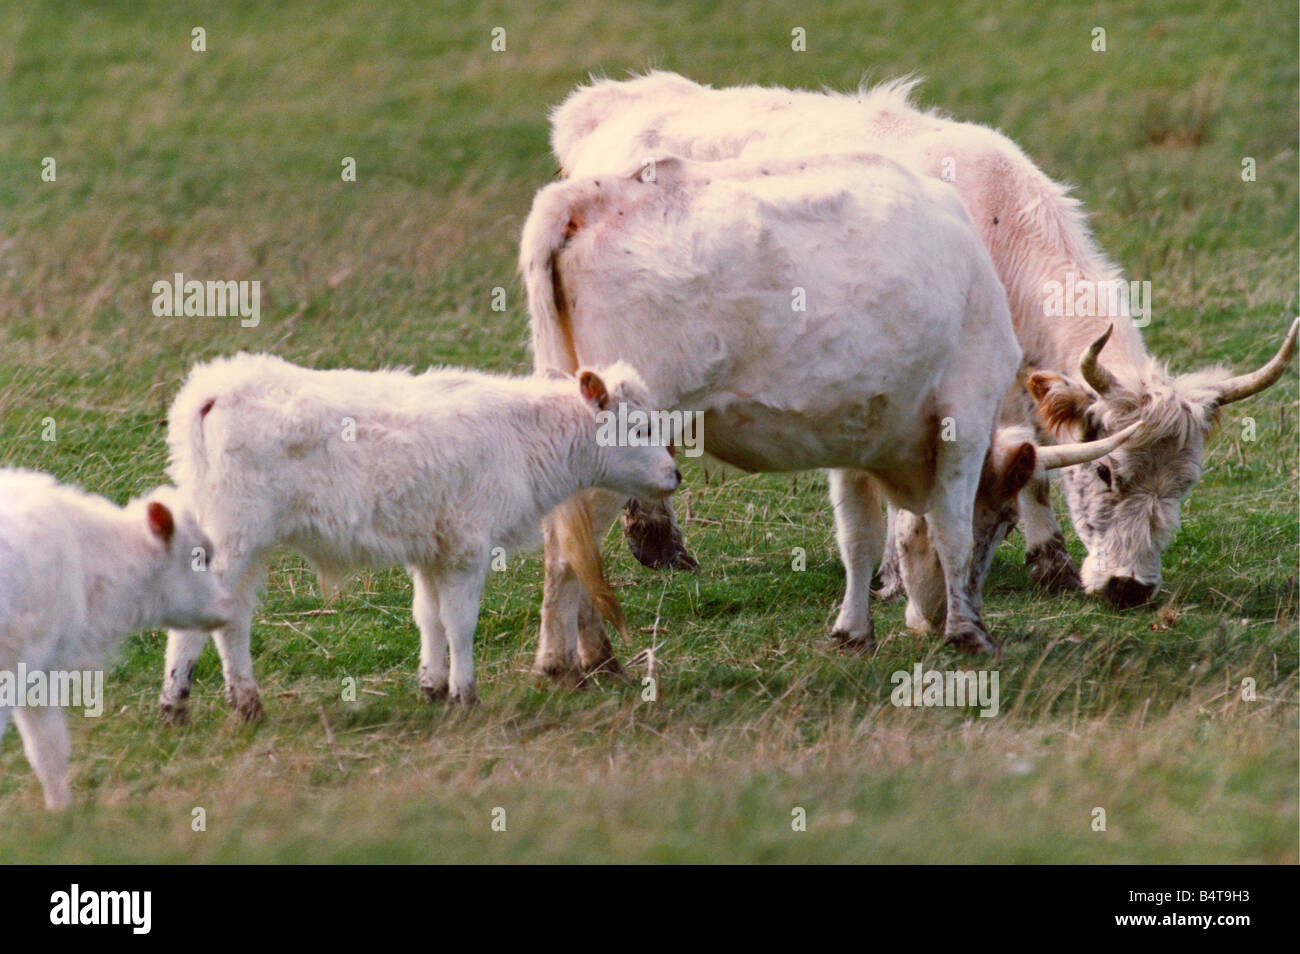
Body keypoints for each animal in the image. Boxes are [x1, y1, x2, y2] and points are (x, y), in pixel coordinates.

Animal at [156, 353, 679, 722]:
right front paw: (467, 696)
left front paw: (434, 689)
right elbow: (460, 622)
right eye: (639, 427)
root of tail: (211, 391)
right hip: (232, 534)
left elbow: (429, 617)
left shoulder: (432, 549)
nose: (674, 474)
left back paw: (247, 704)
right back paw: (174, 706)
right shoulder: (467, 547)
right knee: (197, 623)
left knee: (232, 620)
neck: (521, 437)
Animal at [520, 151, 1130, 682]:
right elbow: (952, 530)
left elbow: (860, 538)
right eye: (1003, 521)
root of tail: (587, 198)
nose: (930, 621)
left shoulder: (856, 438)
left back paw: (588, 661)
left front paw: (854, 631)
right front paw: (968, 631)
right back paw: (574, 661)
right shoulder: (965, 418)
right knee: (570, 547)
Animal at [547, 71, 1298, 607]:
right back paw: (657, 542)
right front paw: (898, 576)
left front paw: (1048, 563)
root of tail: (608, 103)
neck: (998, 228)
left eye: (1187, 483)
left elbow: (1033, 460)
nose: (1130, 590)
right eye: (1110, 472)